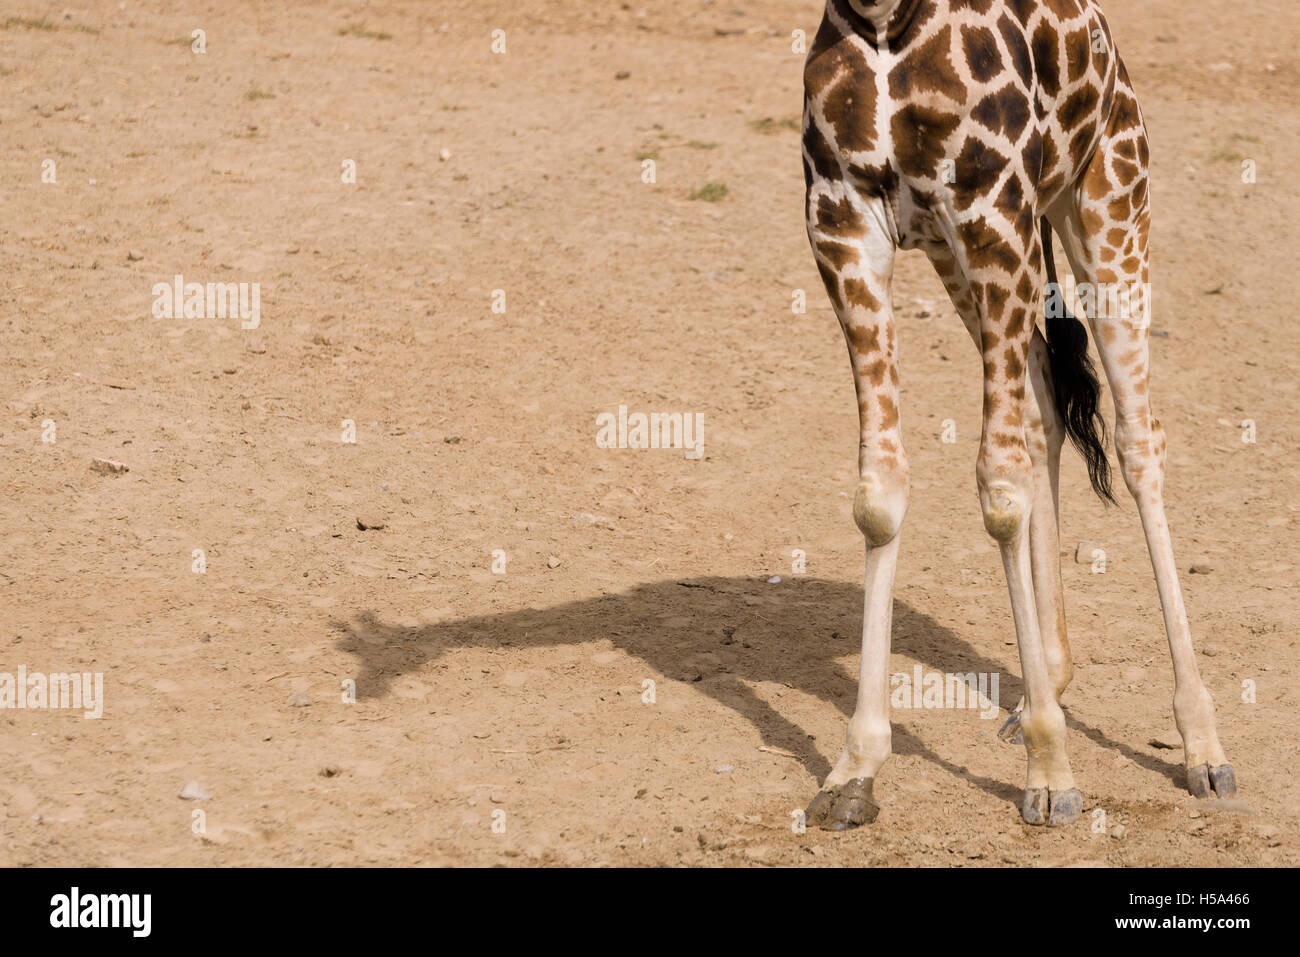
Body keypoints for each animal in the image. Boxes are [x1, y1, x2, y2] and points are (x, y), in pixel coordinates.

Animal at [800, 0, 1236, 828]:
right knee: (1041, 402)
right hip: (963, 256)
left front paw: (1051, 769)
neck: (885, 23)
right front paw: (854, 769)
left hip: (1104, 209)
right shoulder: (844, 221)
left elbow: (999, 493)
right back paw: (1048, 686)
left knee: (1138, 440)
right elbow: (879, 496)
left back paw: (1203, 746)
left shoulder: (990, 218)